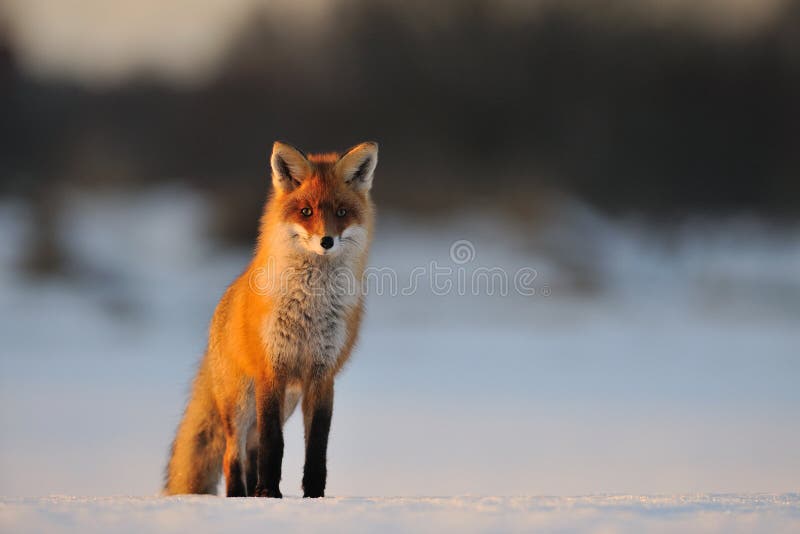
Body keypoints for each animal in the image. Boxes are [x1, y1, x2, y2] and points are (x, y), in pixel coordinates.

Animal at [164, 141, 378, 498]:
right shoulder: (271, 370)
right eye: (306, 212)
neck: (309, 308)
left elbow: (317, 445)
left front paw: (312, 495)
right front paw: (269, 494)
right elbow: (273, 443)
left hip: (288, 401)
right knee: (233, 453)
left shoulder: (322, 374)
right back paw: (240, 496)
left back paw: (252, 492)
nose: (327, 241)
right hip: (240, 402)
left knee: (251, 449)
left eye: (341, 212)